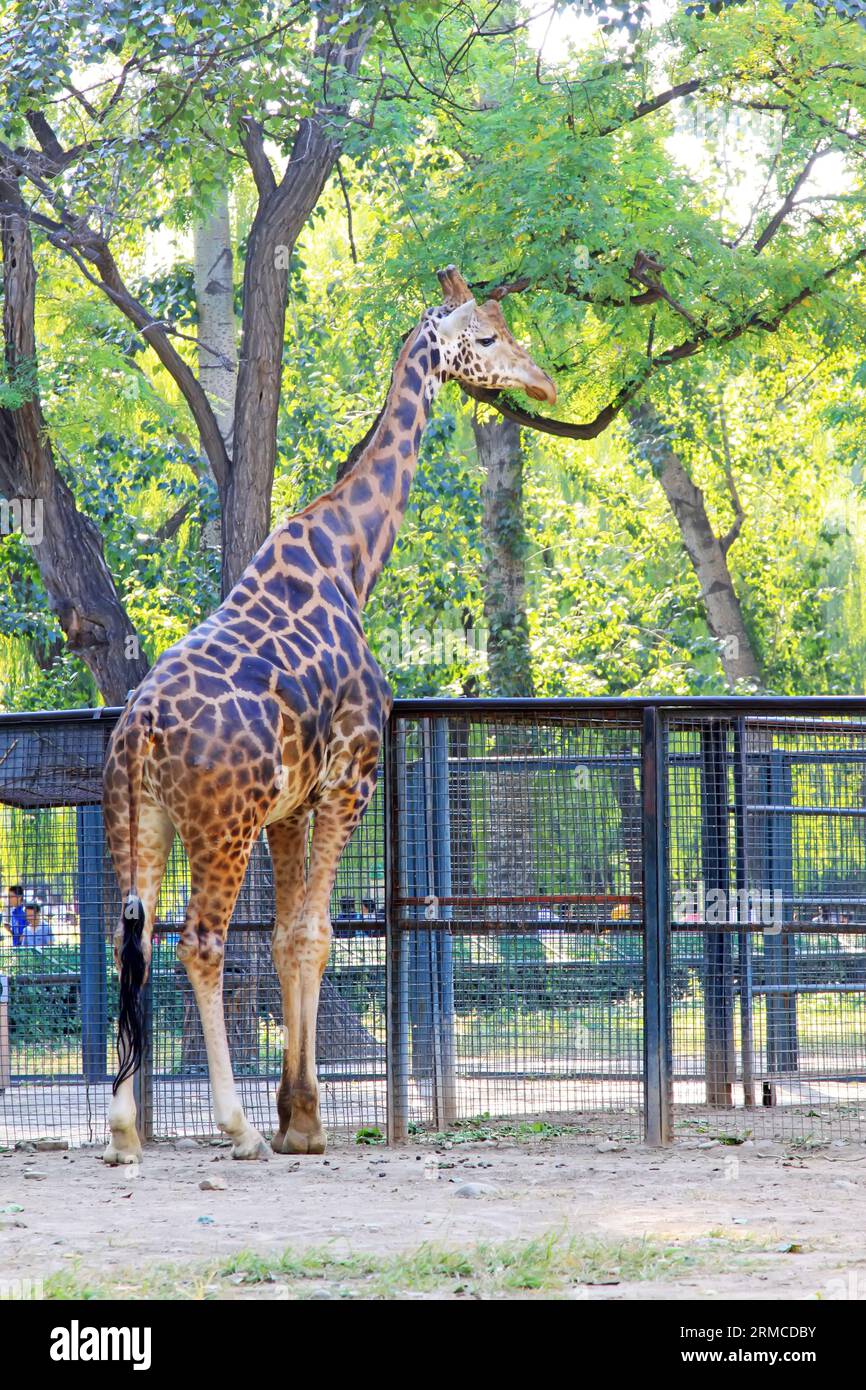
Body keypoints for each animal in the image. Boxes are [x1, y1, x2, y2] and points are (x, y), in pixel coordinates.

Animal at [101, 264, 555, 1165]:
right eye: (487, 337)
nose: (544, 381)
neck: (352, 556)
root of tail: (139, 733)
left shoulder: (289, 804)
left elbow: (286, 938)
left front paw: (298, 1115)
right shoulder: (352, 776)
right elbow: (316, 933)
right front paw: (298, 1120)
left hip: (140, 822)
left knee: (131, 939)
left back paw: (126, 1132)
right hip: (220, 826)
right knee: (198, 942)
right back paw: (234, 1127)